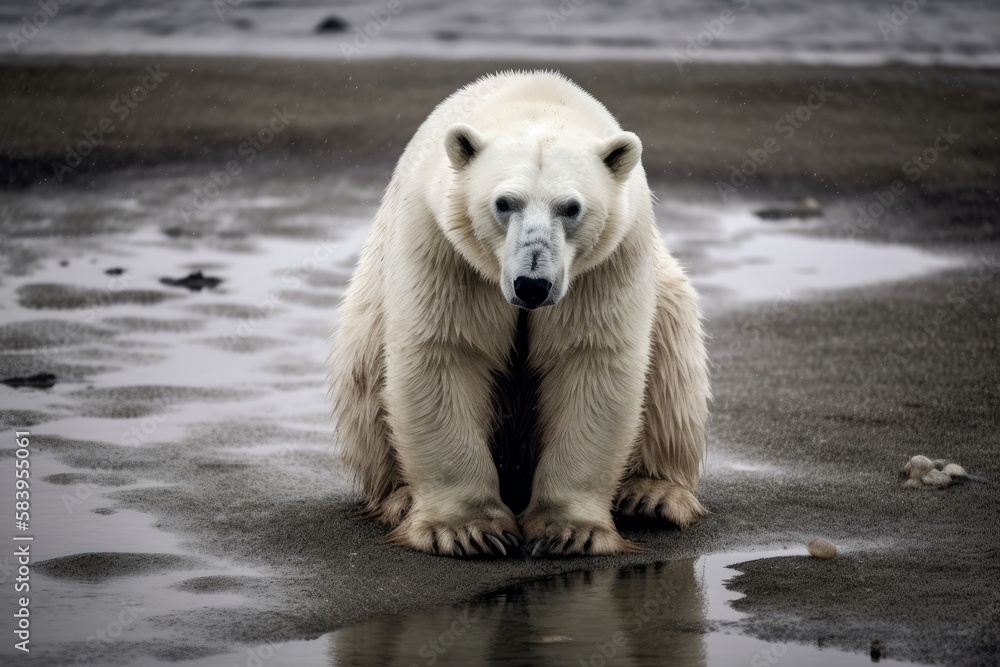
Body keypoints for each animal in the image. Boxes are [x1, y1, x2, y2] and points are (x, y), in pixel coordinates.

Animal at [328, 71, 710, 558]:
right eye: (504, 202)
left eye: (571, 207)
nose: (532, 285)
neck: (533, 100)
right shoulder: (444, 247)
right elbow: (445, 350)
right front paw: (469, 529)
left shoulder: (607, 261)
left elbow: (591, 358)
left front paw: (568, 531)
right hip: (366, 317)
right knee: (364, 372)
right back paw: (399, 499)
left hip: (666, 295)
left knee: (673, 368)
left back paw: (652, 496)